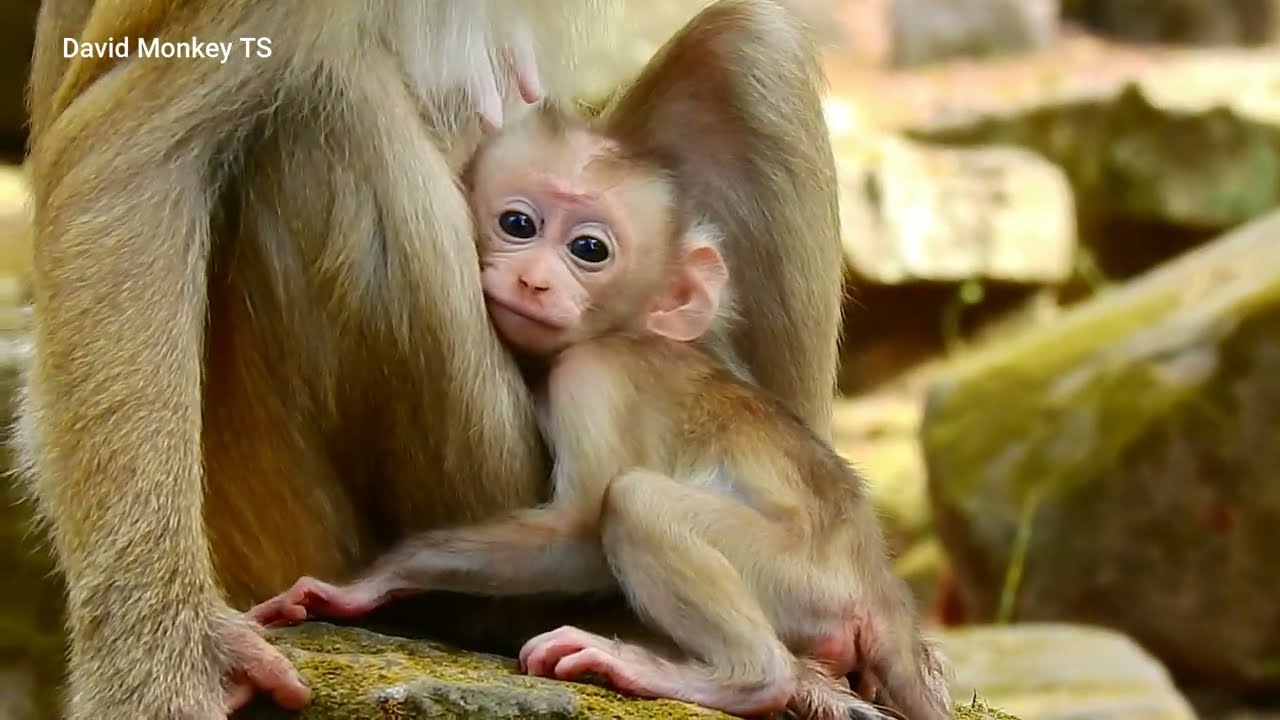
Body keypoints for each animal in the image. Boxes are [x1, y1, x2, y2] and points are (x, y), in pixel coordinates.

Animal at [19, 0, 845, 717]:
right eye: (517, 226)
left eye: (587, 250)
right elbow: (129, 154)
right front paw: (163, 670)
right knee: (328, 104)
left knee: (751, 45)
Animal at [247, 106, 952, 720]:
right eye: (518, 224)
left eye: (589, 249)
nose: (534, 280)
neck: (621, 330)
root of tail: (880, 583)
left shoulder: (593, 375)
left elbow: (581, 529)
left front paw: (371, 581)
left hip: (796, 577)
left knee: (638, 502)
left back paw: (734, 678)